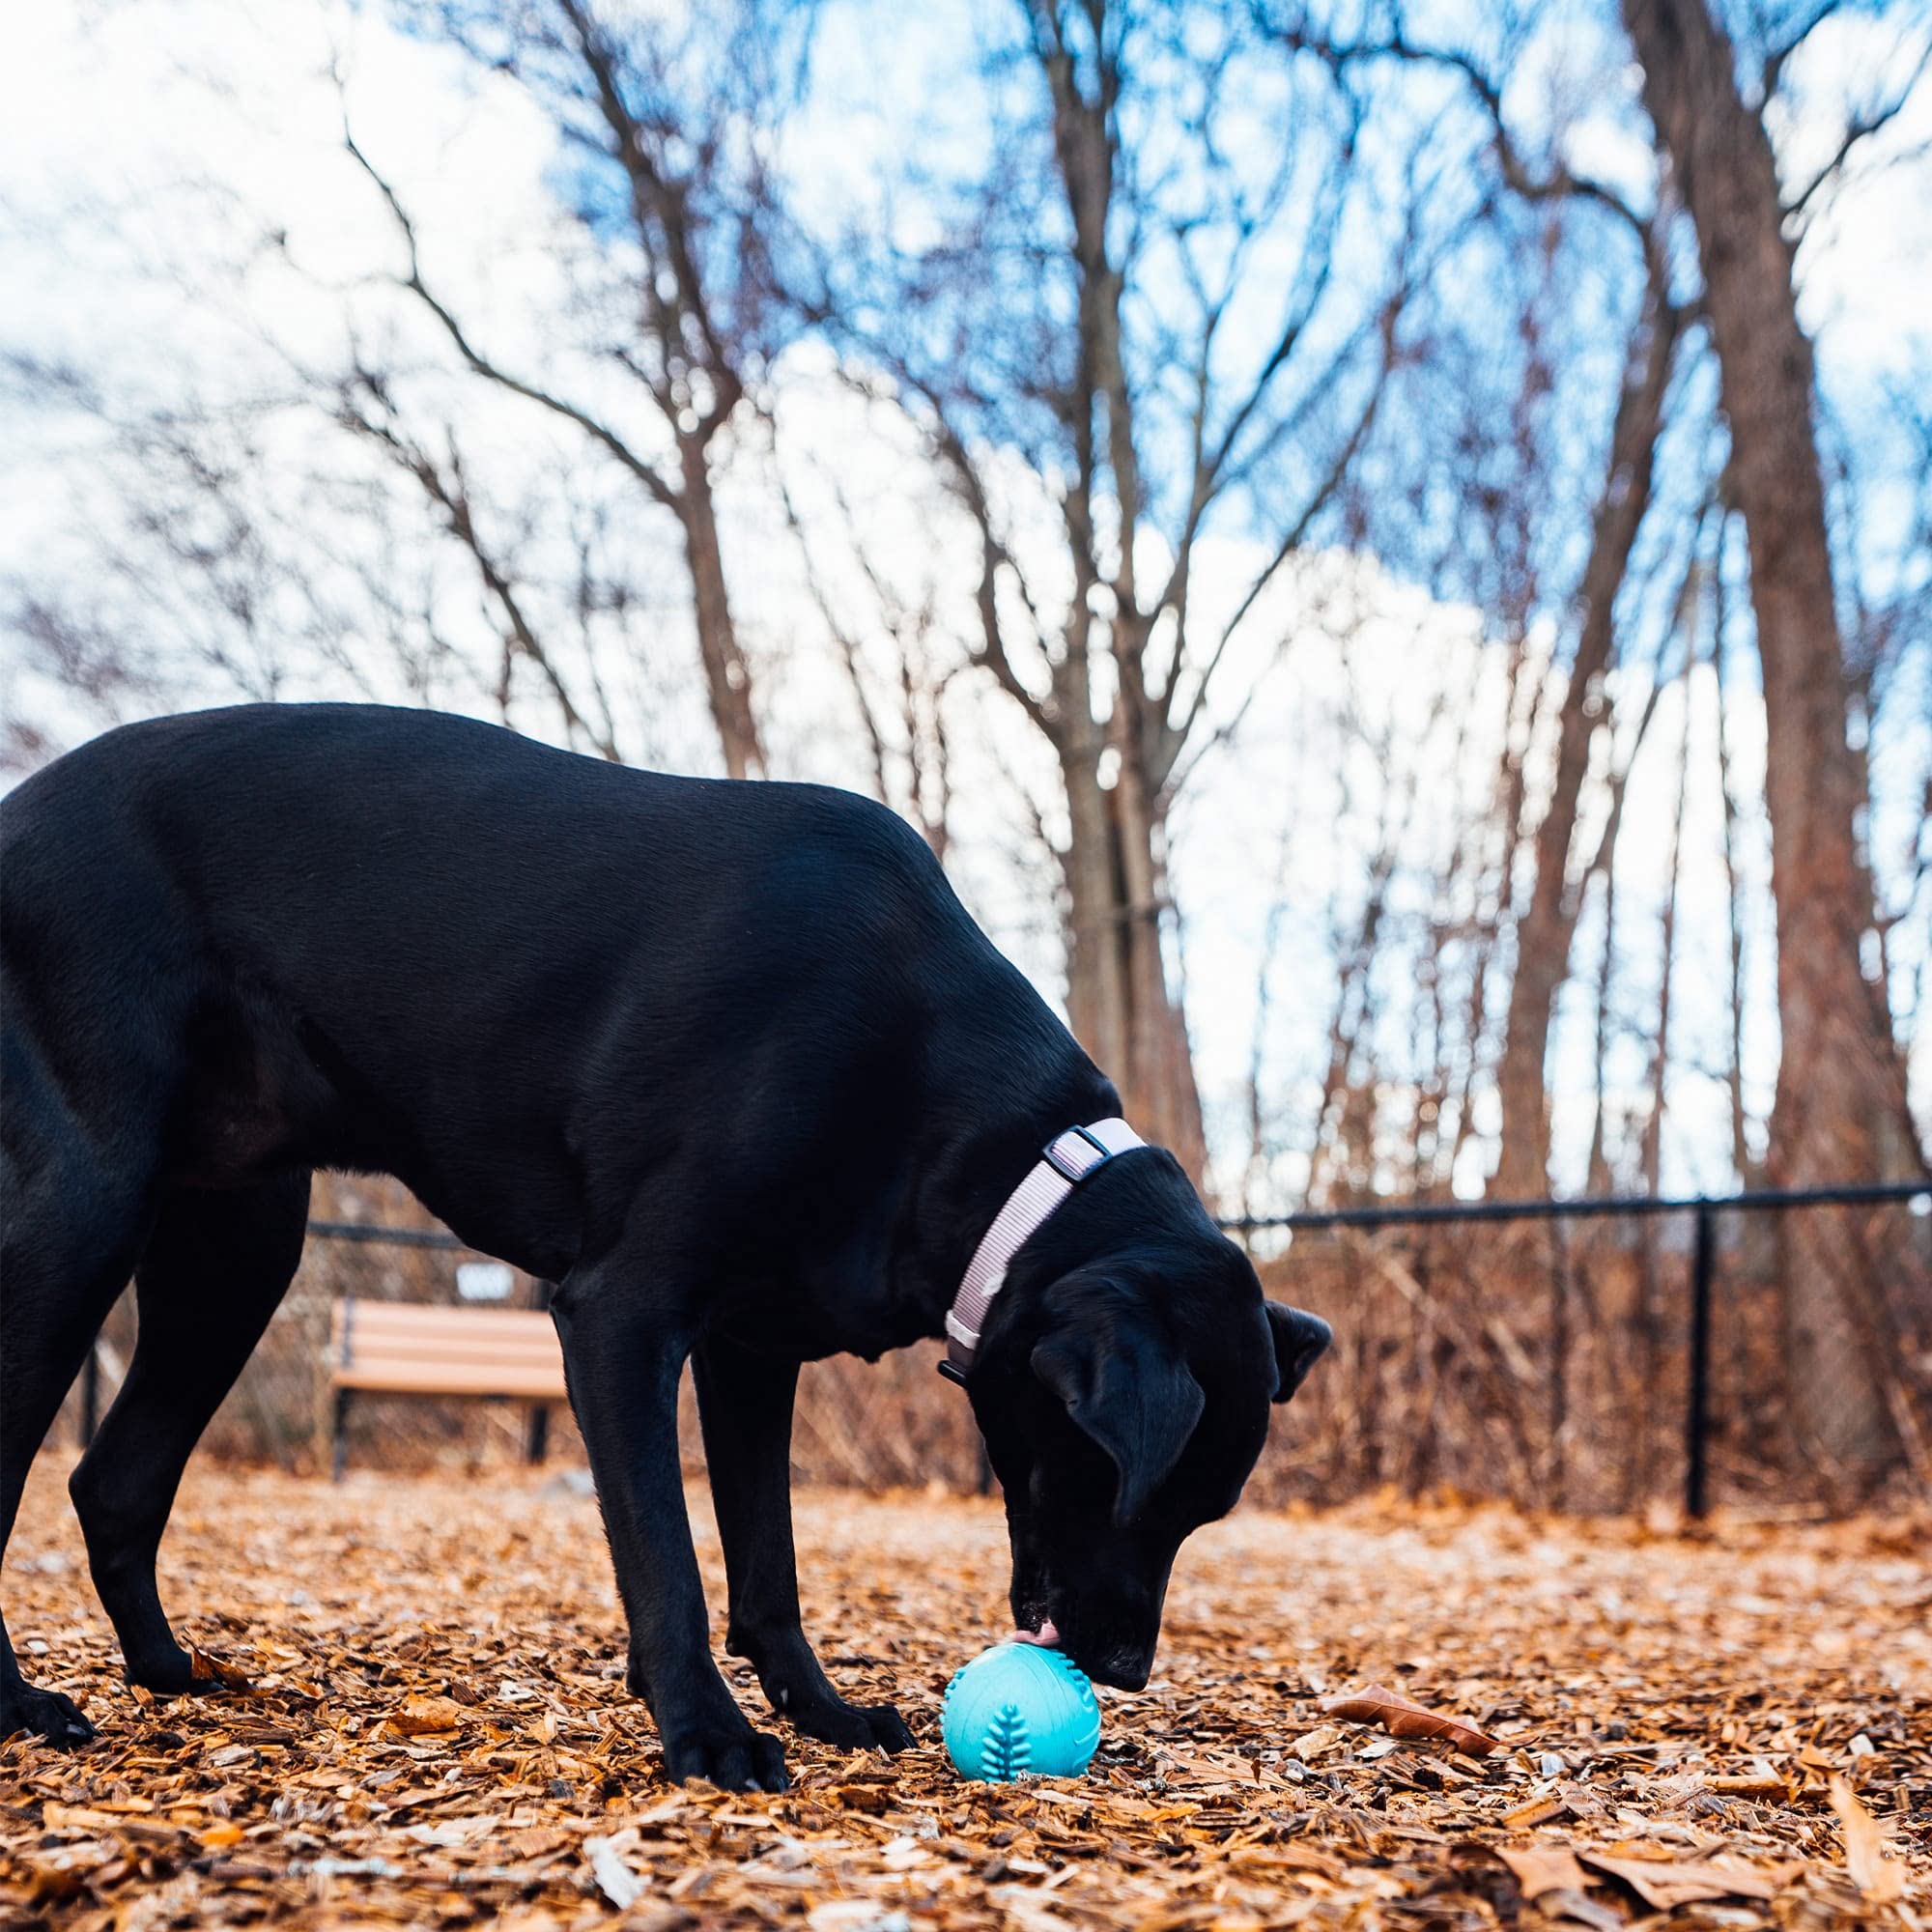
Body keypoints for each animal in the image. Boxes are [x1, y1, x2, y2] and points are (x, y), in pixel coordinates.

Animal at [0, 703, 1329, 1785]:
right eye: (1137, 1485)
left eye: (1205, 1512)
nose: (1126, 1670)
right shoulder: (620, 1313)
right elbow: (667, 1554)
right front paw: (707, 1731)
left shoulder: (751, 1349)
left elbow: (768, 1560)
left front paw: (818, 1709)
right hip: (81, 1218)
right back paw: (21, 1700)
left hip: (238, 1250)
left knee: (112, 1478)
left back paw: (169, 1671)